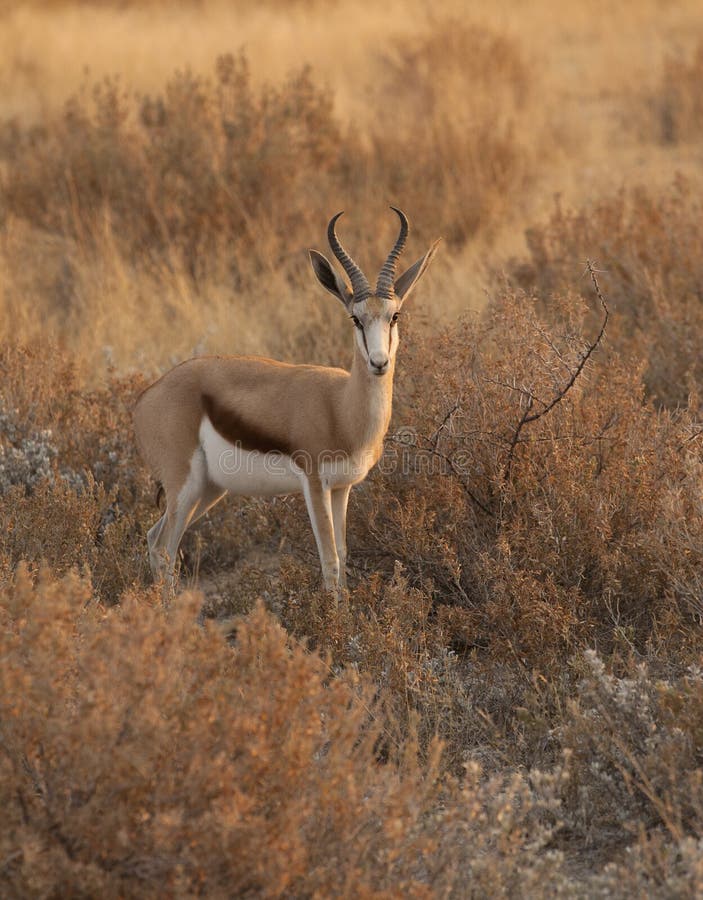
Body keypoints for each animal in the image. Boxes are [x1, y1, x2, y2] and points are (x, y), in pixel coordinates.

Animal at [134, 207, 439, 595]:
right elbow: (330, 562)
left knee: (155, 540)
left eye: (394, 316)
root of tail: (147, 397)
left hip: (207, 490)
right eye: (355, 318)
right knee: (163, 549)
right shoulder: (314, 483)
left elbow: (343, 557)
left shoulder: (342, 488)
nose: (379, 363)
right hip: (184, 486)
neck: (342, 408)